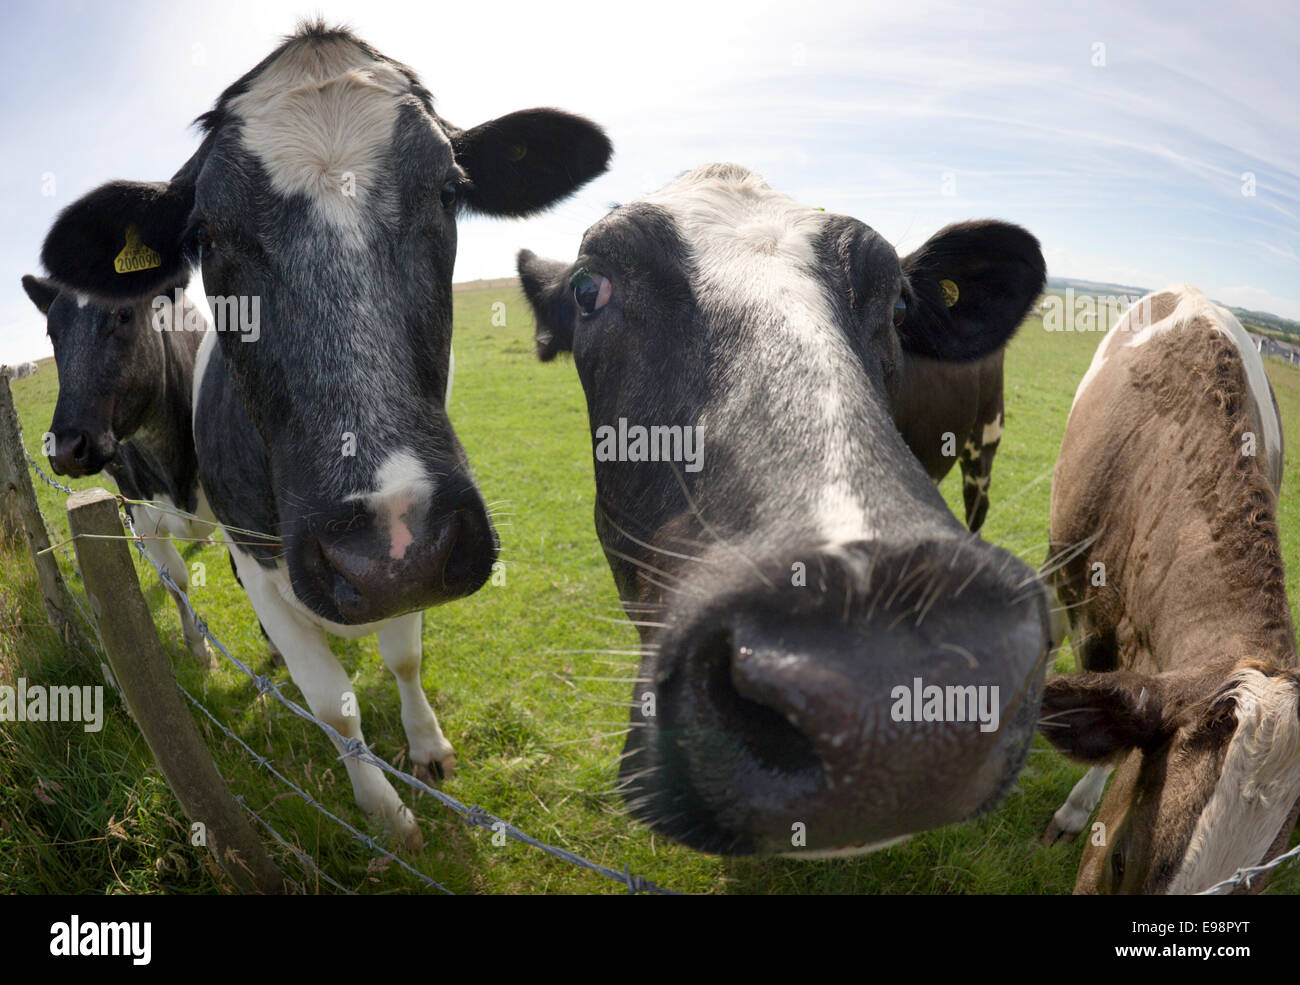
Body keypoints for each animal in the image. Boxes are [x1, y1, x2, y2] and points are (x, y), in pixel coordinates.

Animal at [39, 21, 611, 847]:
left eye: (448, 191)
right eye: (206, 234)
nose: (387, 547)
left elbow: (404, 656)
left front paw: (427, 744)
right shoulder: (255, 554)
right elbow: (332, 703)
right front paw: (387, 812)